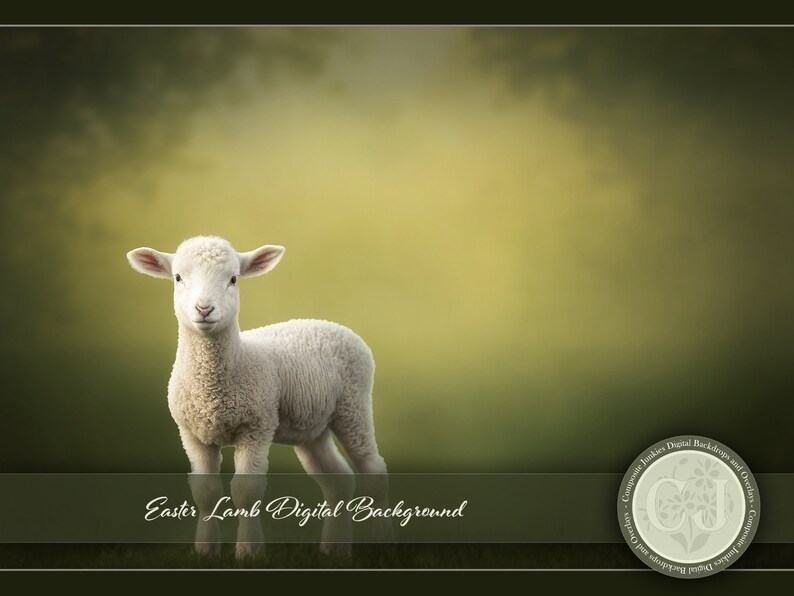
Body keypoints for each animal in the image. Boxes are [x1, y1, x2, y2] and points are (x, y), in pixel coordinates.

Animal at [127, 235, 389, 558]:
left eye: (233, 279)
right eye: (177, 278)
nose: (204, 309)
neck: (213, 389)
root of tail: (331, 324)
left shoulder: (256, 426)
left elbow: (246, 492)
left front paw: (249, 552)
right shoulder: (192, 434)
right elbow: (205, 493)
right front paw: (205, 552)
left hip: (353, 406)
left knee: (373, 470)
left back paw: (381, 543)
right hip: (311, 429)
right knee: (338, 480)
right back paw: (334, 549)